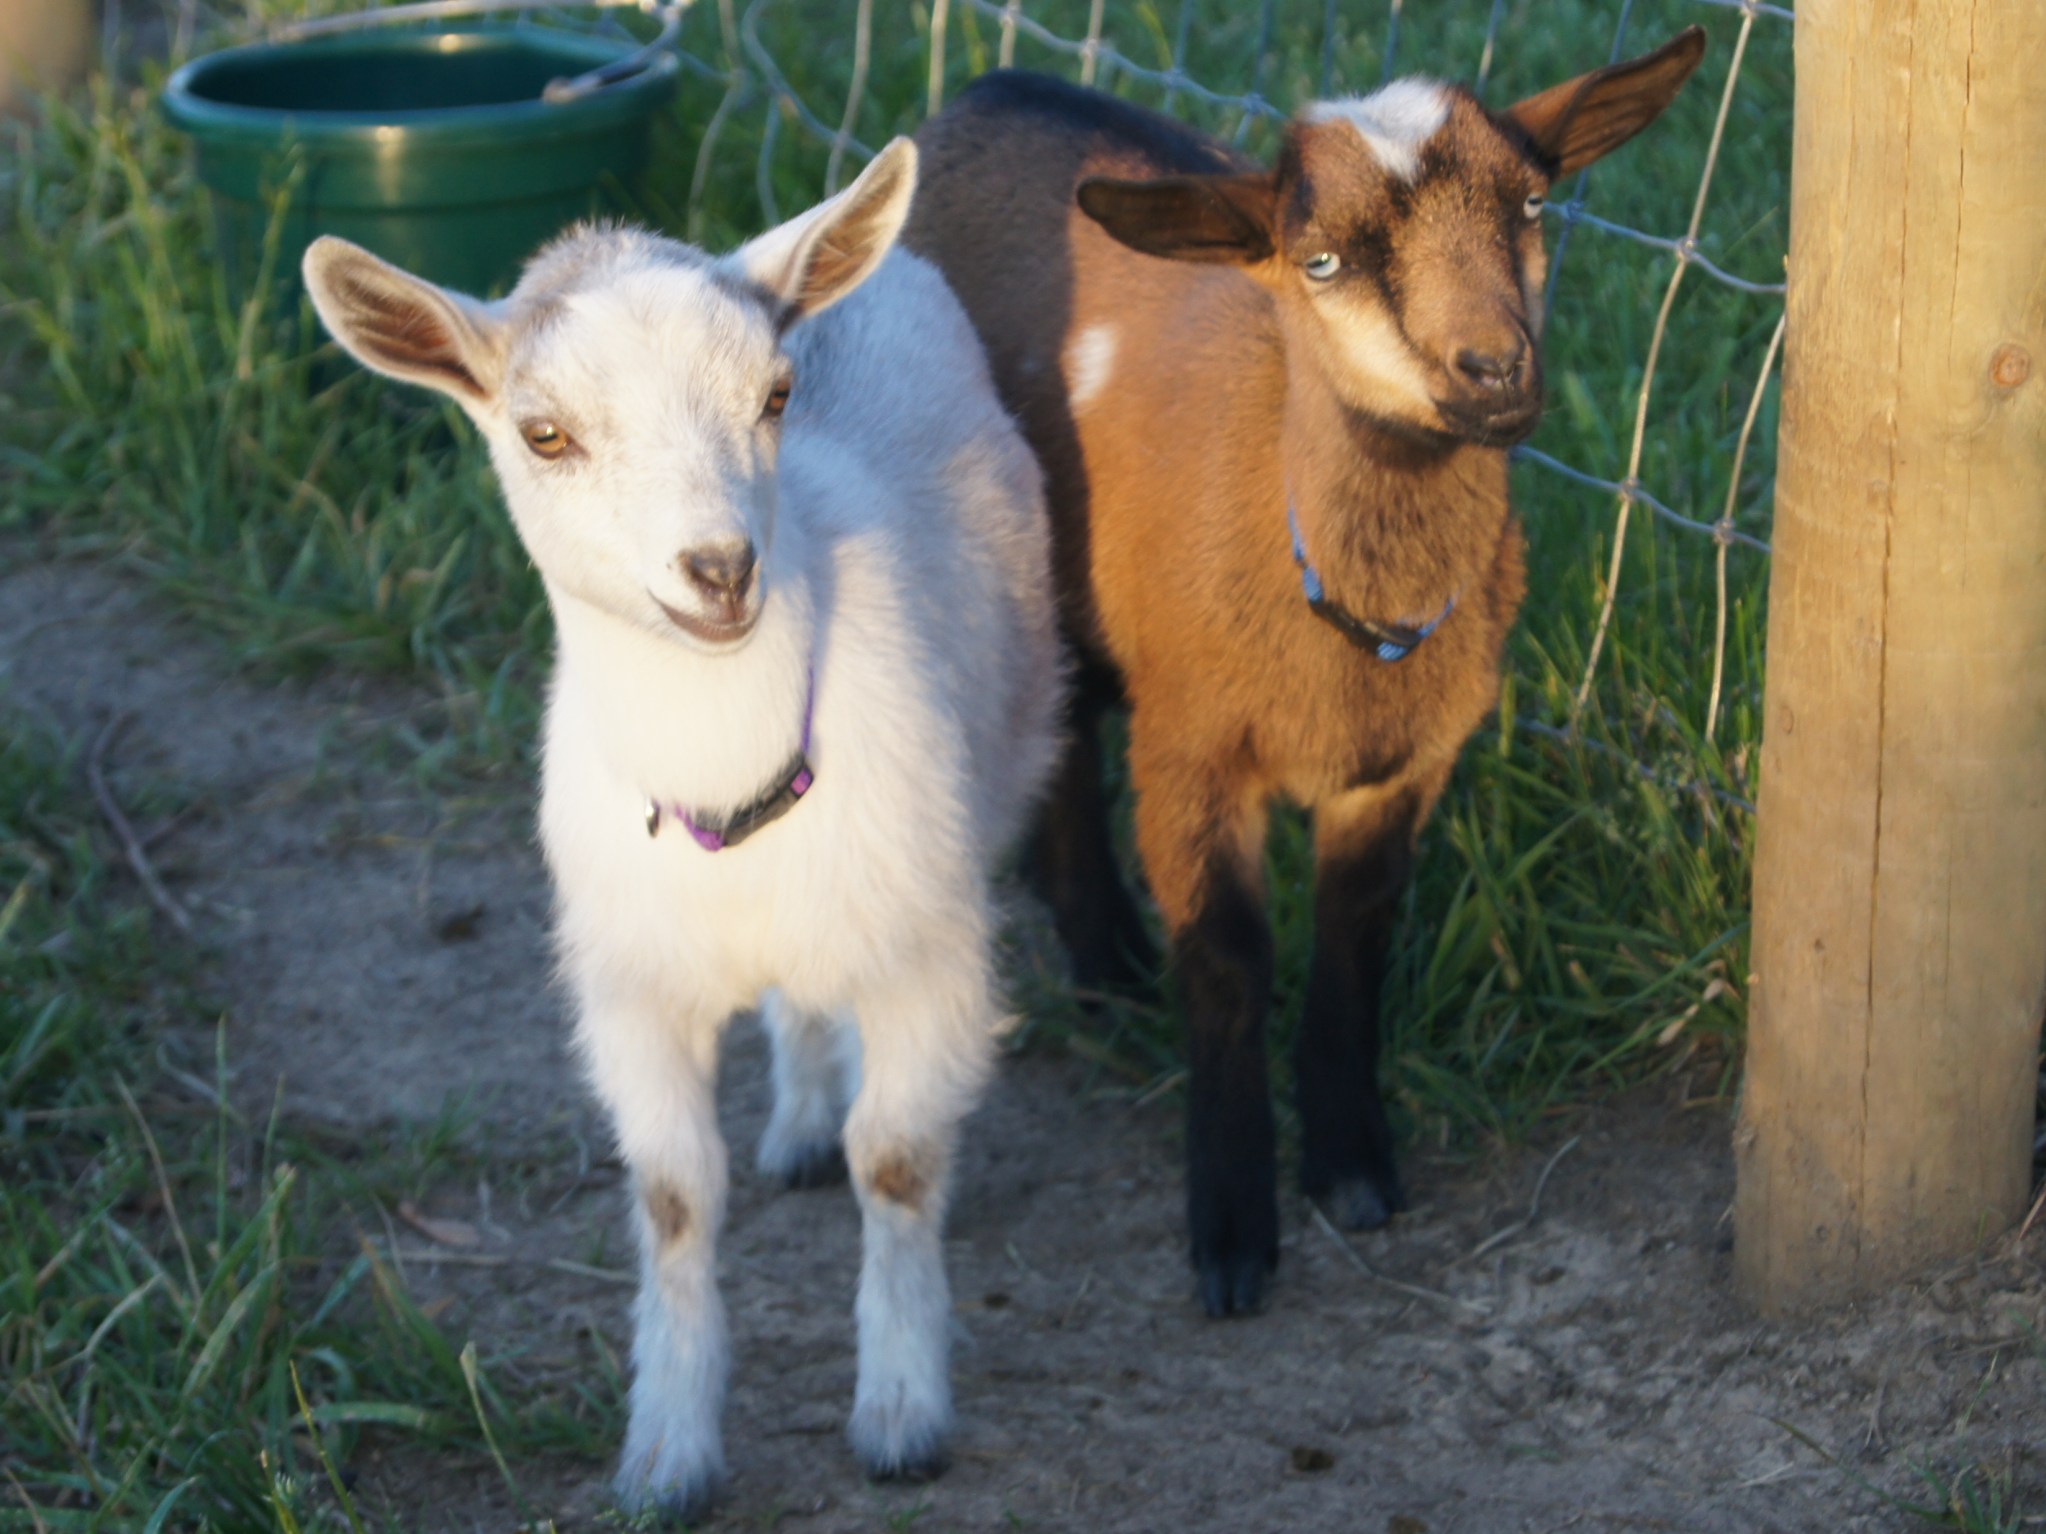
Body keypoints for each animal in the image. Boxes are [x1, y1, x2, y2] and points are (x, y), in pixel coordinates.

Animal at [302, 139, 1063, 1514]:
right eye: (544, 432)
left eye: (774, 394)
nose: (719, 570)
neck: (733, 795)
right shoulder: (630, 989)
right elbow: (671, 1198)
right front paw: (665, 1449)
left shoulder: (923, 950)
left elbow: (897, 1162)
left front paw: (902, 1412)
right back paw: (801, 1117)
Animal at [906, 32, 1704, 1316]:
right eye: (1322, 260)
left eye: (1532, 203)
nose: (1494, 370)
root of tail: (993, 87)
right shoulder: (1192, 749)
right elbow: (1230, 960)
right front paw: (1232, 1229)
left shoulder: (1411, 756)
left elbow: (1356, 933)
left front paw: (1350, 1161)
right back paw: (1107, 959)